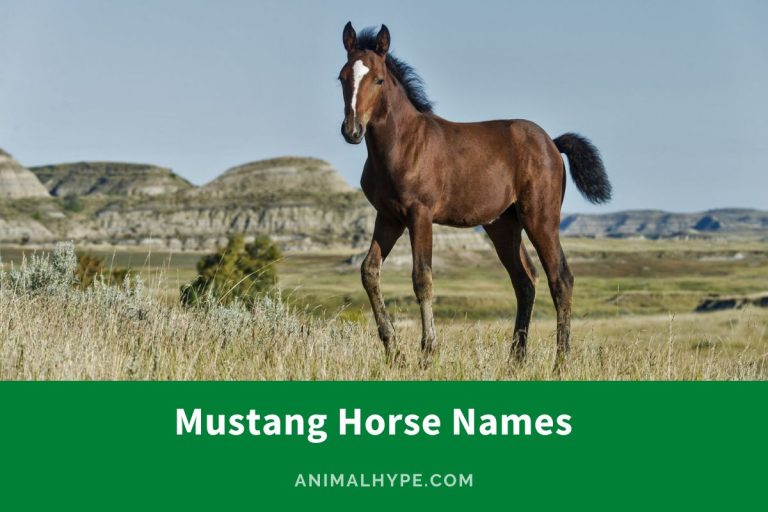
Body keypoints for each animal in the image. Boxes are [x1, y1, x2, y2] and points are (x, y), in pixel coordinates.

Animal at [338, 23, 612, 368]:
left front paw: (427, 352)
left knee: (560, 278)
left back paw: (560, 362)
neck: (402, 144)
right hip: (503, 225)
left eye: (378, 79)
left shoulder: (419, 214)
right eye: (342, 77)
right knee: (525, 281)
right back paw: (515, 360)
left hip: (540, 217)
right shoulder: (388, 217)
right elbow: (369, 271)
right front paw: (394, 352)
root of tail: (551, 142)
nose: (352, 131)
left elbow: (422, 278)